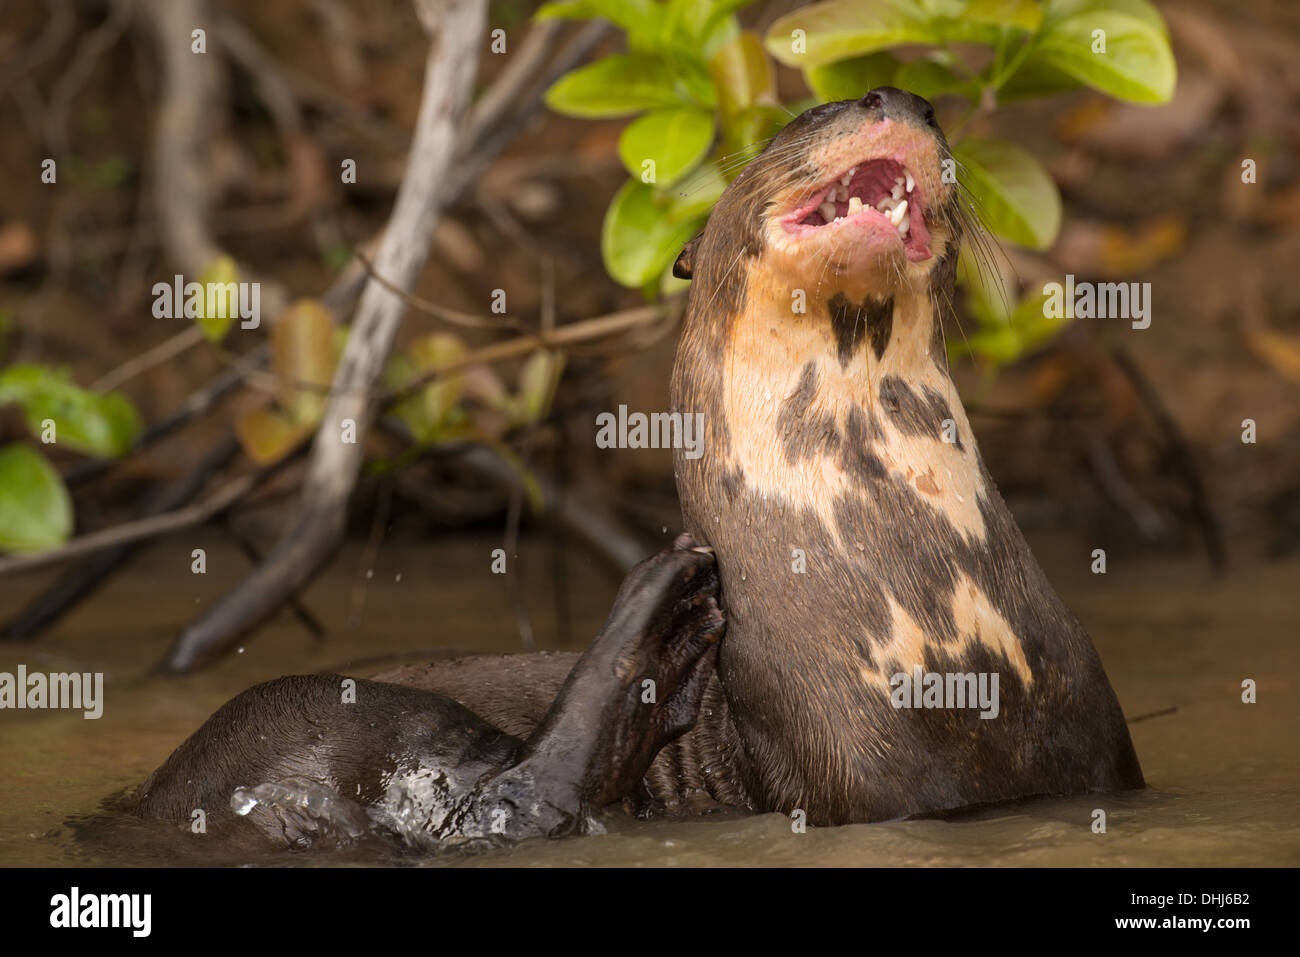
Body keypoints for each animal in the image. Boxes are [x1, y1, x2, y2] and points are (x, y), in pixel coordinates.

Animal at [133, 88, 1141, 847]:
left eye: (930, 109)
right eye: (805, 116)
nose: (904, 98)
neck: (943, 640)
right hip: (321, 720)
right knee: (507, 799)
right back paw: (659, 610)